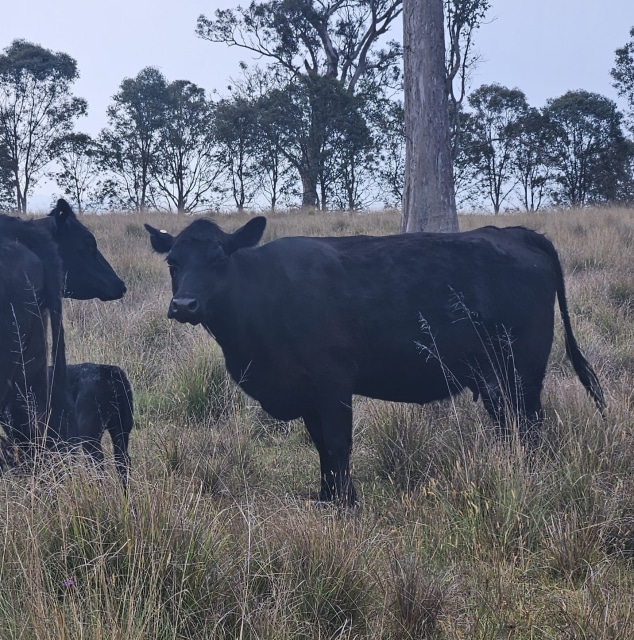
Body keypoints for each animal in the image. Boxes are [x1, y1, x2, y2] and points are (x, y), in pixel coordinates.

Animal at [145, 218, 605, 506]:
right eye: (173, 262)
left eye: (220, 259)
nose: (184, 305)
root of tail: (516, 233)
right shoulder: (309, 394)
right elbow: (321, 447)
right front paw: (328, 498)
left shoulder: (332, 383)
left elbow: (337, 444)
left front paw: (346, 504)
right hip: (493, 378)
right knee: (511, 428)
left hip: (521, 372)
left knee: (530, 428)